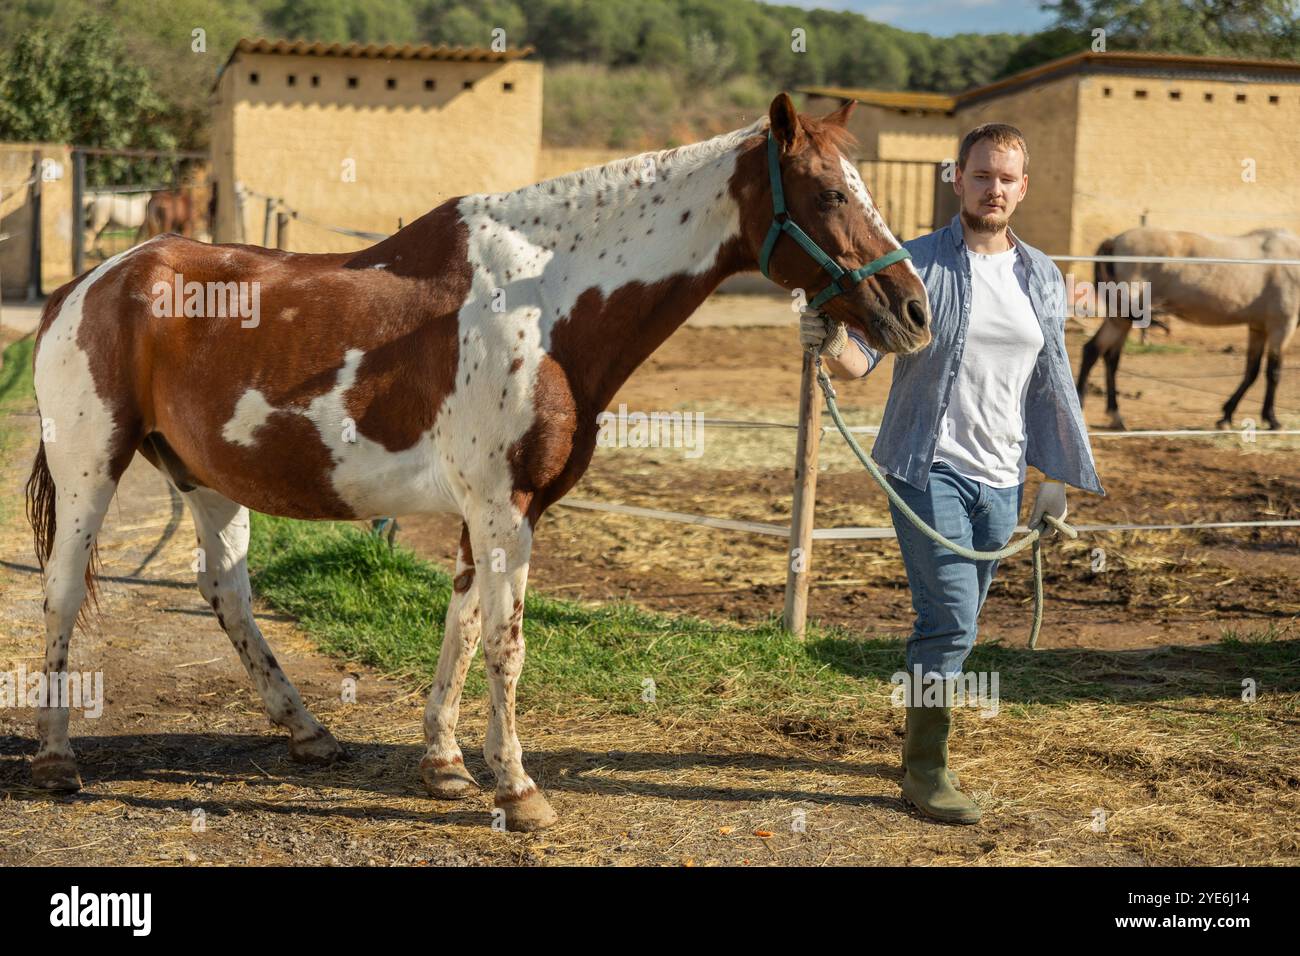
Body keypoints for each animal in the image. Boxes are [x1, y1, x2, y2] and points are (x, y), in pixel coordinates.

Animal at [24, 93, 930, 831]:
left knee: (226, 591)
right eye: (830, 193)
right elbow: (506, 642)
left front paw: (447, 765)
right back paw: (56, 759)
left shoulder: (491, 515)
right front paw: (520, 790)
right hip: (90, 469)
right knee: (64, 590)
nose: (914, 311)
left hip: (207, 478)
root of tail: (87, 285)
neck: (544, 300)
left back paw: (308, 732)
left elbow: (460, 630)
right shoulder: (503, 509)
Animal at [1076, 227, 1300, 430]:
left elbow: (1251, 371)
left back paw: (1114, 416)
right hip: (1122, 316)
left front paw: (1226, 416)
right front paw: (1272, 420)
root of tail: (1114, 241)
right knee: (1097, 352)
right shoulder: (1282, 326)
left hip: (1120, 318)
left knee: (1102, 354)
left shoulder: (1258, 327)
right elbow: (1273, 372)